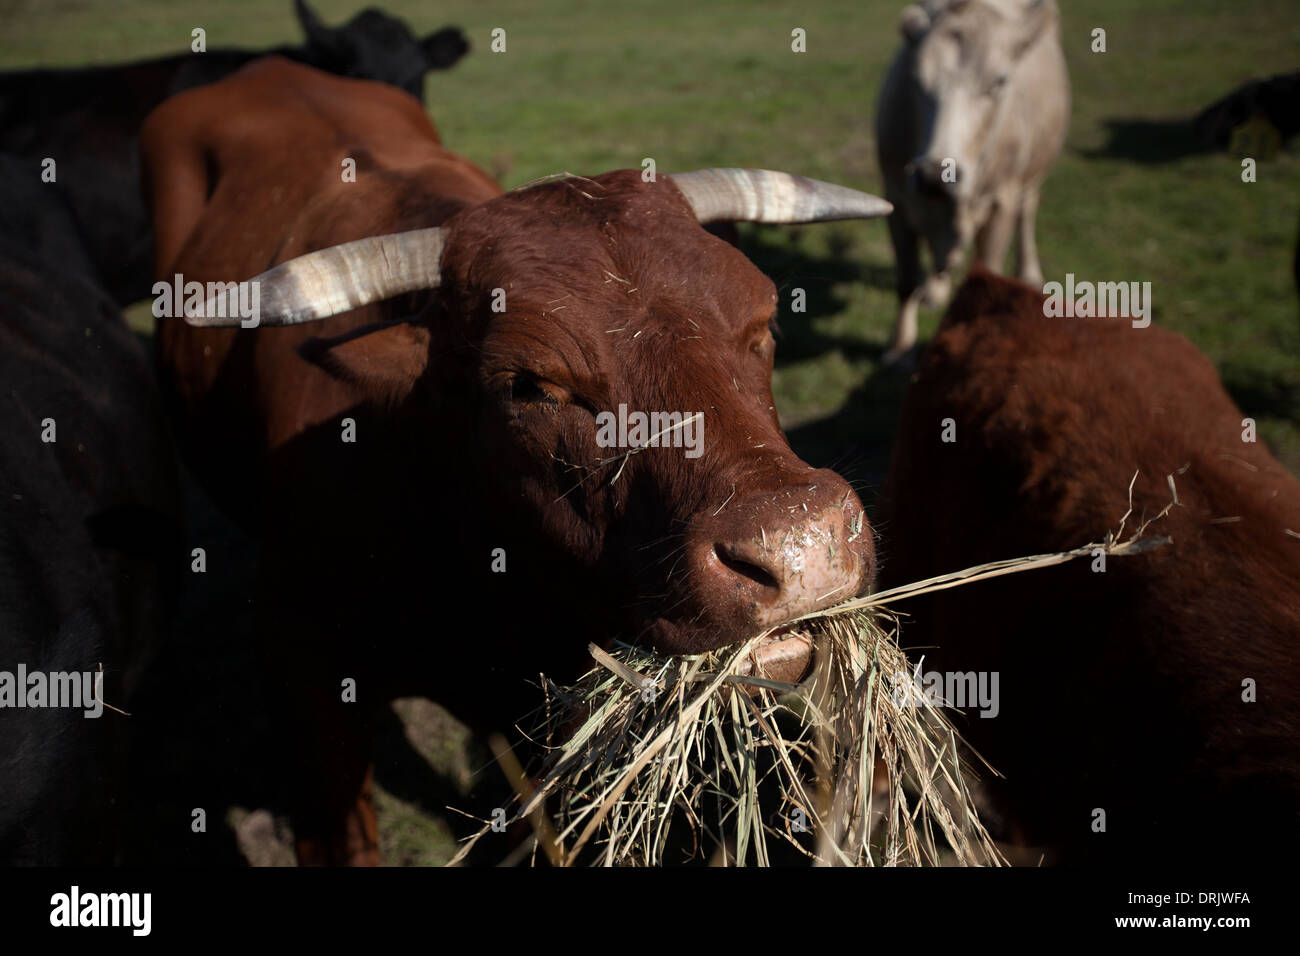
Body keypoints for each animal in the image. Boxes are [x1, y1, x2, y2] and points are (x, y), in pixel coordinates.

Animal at [875, 0, 1069, 363]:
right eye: (917, 78)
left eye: (999, 81)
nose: (935, 176)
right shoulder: (895, 196)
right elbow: (906, 279)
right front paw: (900, 348)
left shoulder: (1001, 203)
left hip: (1034, 171)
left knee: (1028, 209)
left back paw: (1029, 271)